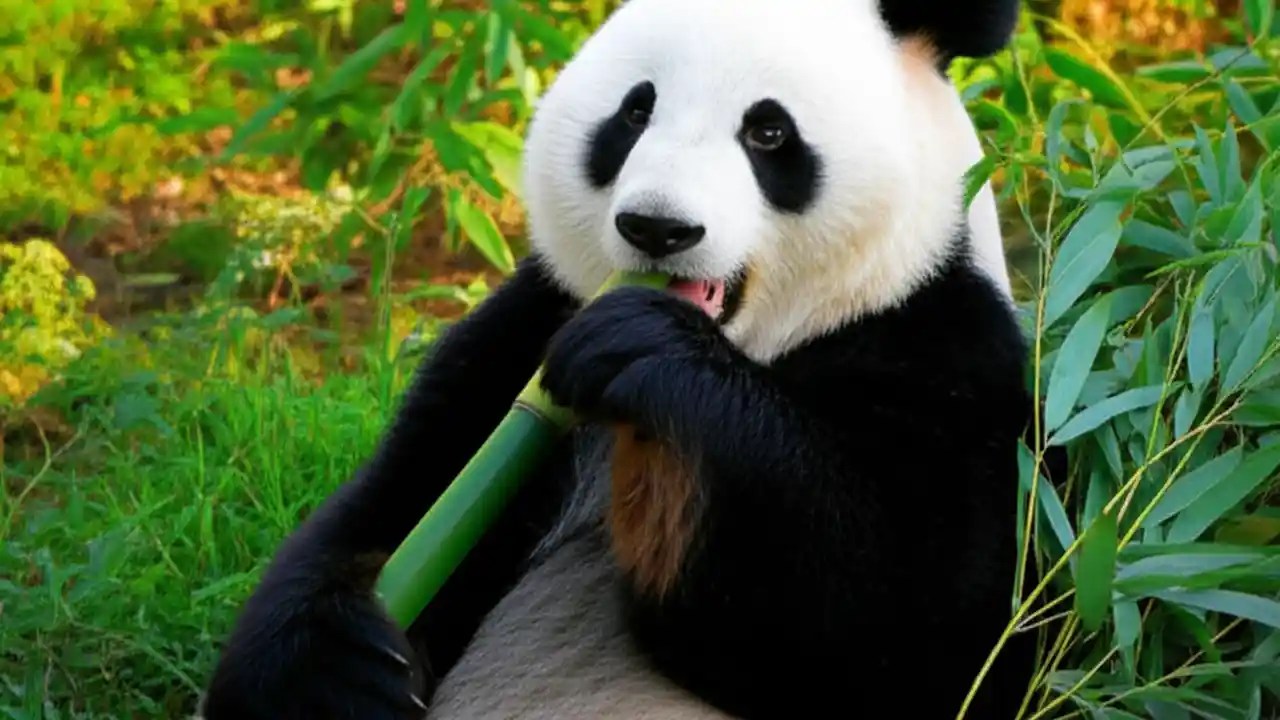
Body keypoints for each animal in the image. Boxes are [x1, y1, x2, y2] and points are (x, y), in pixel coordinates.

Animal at [199, 0, 1045, 718]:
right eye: (635, 113)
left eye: (769, 133)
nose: (658, 228)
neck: (758, 345)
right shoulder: (521, 340)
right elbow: (398, 502)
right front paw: (334, 663)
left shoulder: (942, 348)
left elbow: (912, 633)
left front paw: (644, 351)